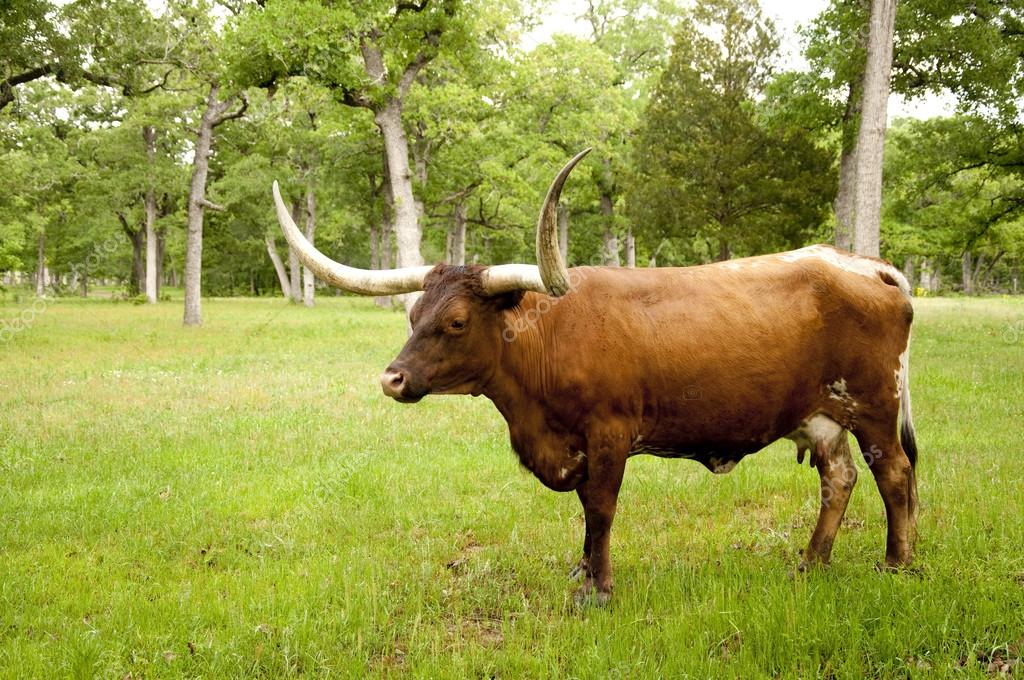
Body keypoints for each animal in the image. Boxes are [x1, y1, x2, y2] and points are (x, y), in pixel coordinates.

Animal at [272, 150, 919, 606]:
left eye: (456, 322)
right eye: (412, 315)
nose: (393, 380)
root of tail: (867, 265)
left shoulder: (610, 433)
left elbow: (600, 508)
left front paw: (598, 590)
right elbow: (585, 508)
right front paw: (582, 572)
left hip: (873, 405)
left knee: (894, 474)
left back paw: (897, 564)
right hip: (823, 417)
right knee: (839, 479)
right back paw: (811, 563)